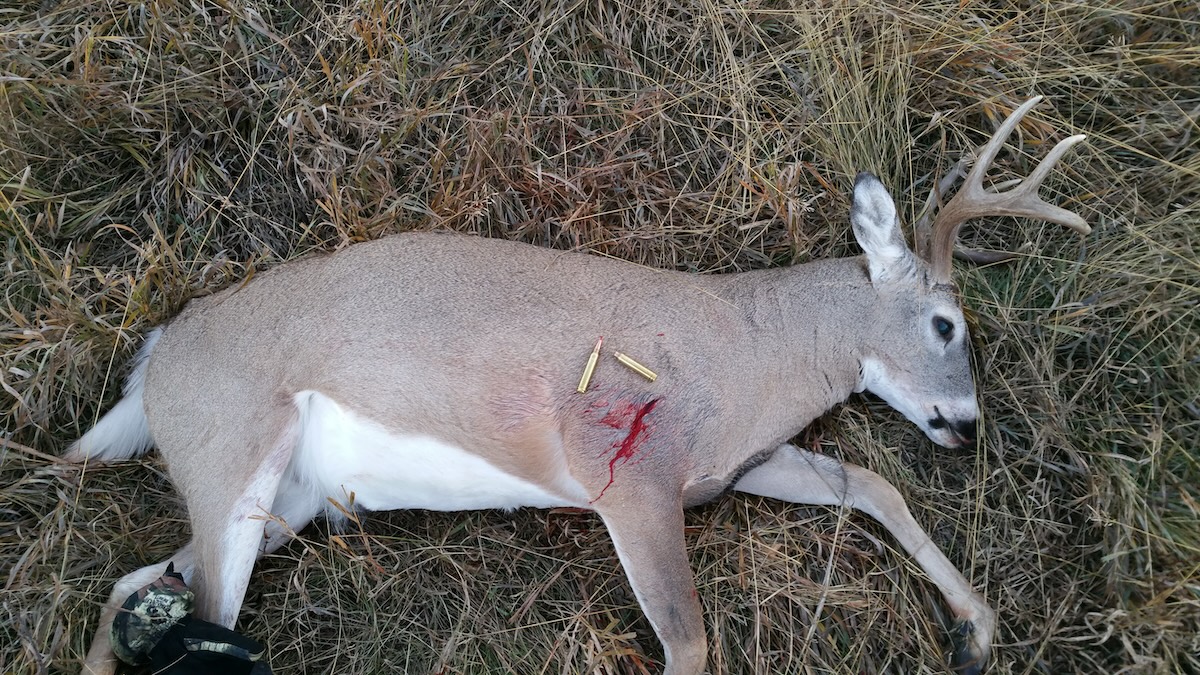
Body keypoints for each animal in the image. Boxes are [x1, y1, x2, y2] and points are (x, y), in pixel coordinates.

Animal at [66, 97, 1087, 675]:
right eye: (947, 324)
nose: (965, 423)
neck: (750, 352)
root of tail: (156, 353)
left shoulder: (736, 463)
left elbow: (872, 485)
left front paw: (976, 631)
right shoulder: (623, 469)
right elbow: (689, 639)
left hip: (292, 497)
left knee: (132, 588)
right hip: (236, 451)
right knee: (198, 614)